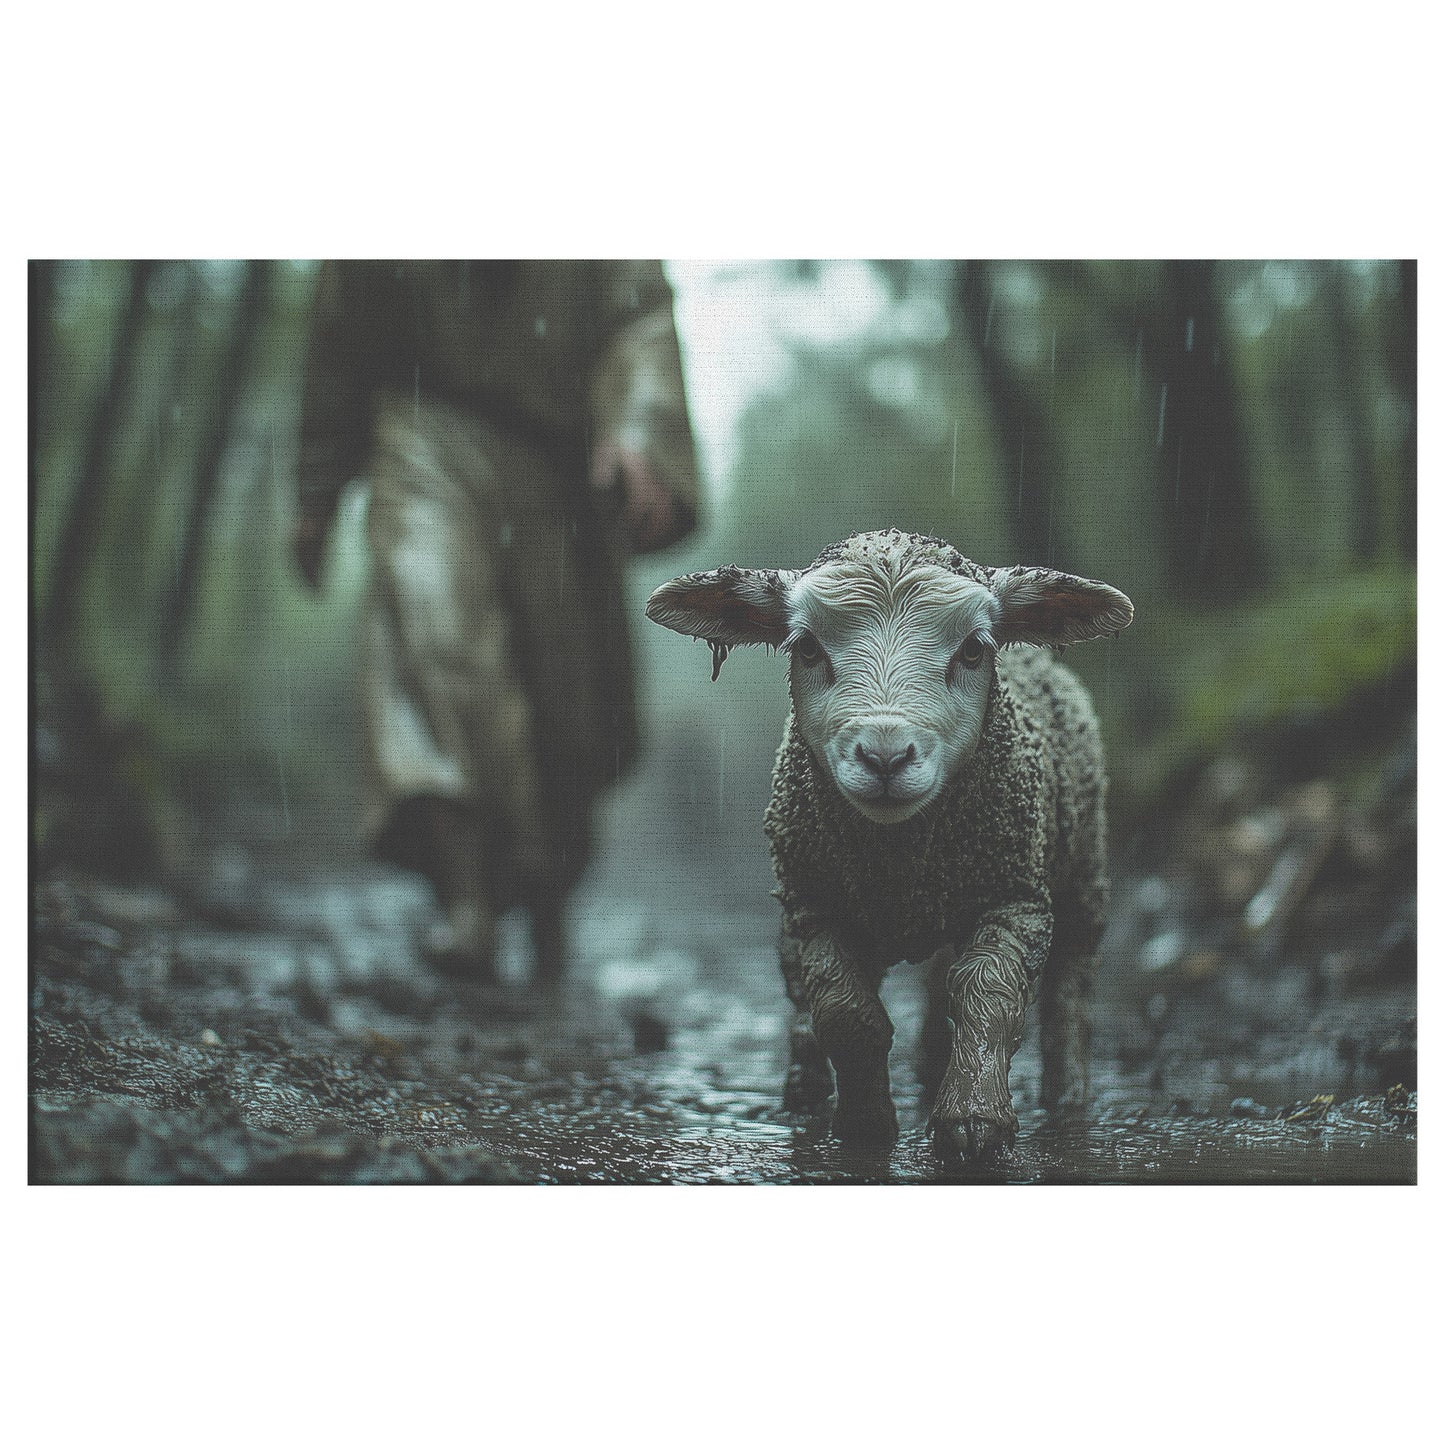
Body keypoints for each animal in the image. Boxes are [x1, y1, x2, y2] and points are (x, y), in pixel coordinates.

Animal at [646, 529, 1133, 1160]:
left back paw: (1067, 1096)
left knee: (1070, 990)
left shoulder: (1017, 896)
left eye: (972, 650)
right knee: (819, 993)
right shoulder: (816, 905)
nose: (884, 757)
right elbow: (846, 1012)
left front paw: (974, 1123)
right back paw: (814, 1087)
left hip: (1083, 875)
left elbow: (988, 994)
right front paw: (866, 1124)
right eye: (806, 648)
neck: (899, 858)